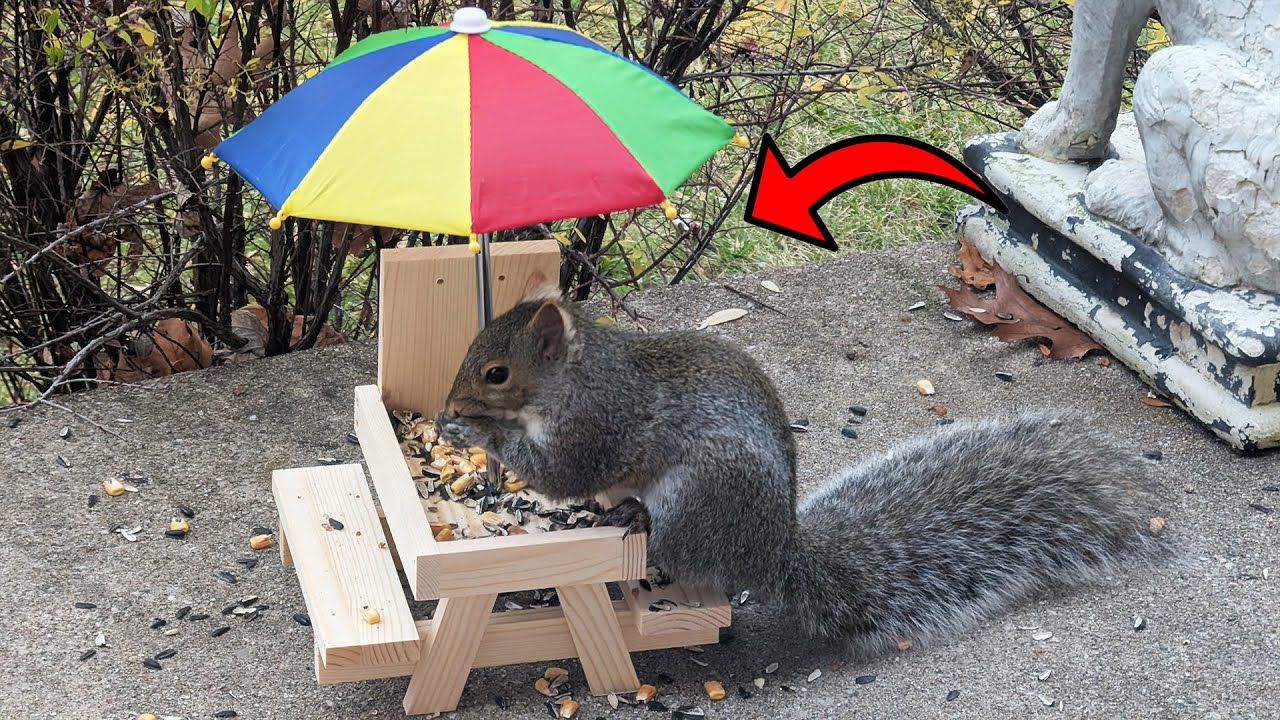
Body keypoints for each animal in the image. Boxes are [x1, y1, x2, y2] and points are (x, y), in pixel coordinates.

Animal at [437, 290, 1171, 654]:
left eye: (496, 373)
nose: (451, 403)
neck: (572, 378)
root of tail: (773, 552)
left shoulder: (599, 424)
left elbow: (561, 471)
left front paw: (473, 432)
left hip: (702, 493)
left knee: (677, 548)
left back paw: (634, 519)